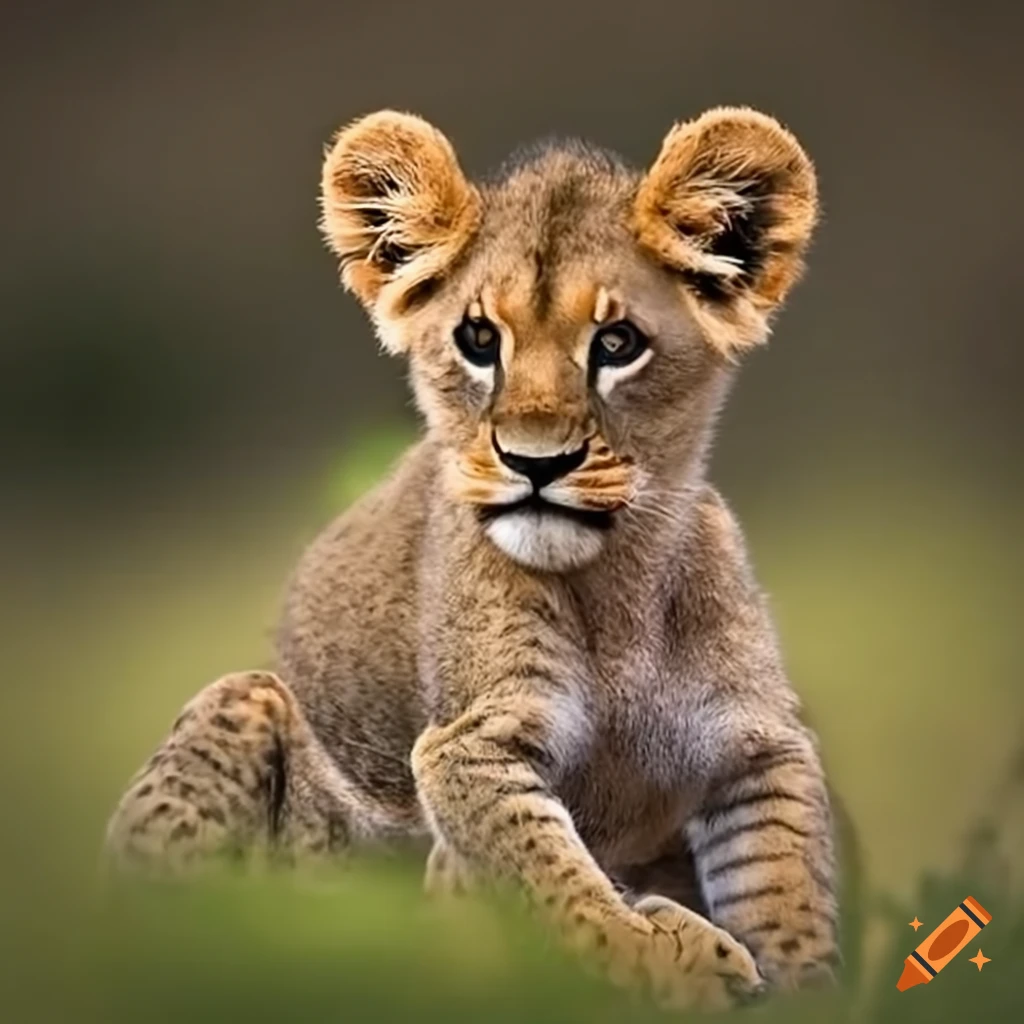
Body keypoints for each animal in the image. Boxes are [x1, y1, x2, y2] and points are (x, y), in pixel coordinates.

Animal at [105, 105, 840, 1012]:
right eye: (479, 339)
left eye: (618, 343)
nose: (536, 463)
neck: (620, 587)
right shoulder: (466, 747)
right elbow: (561, 883)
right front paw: (680, 959)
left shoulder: (758, 745)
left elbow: (787, 901)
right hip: (241, 709)